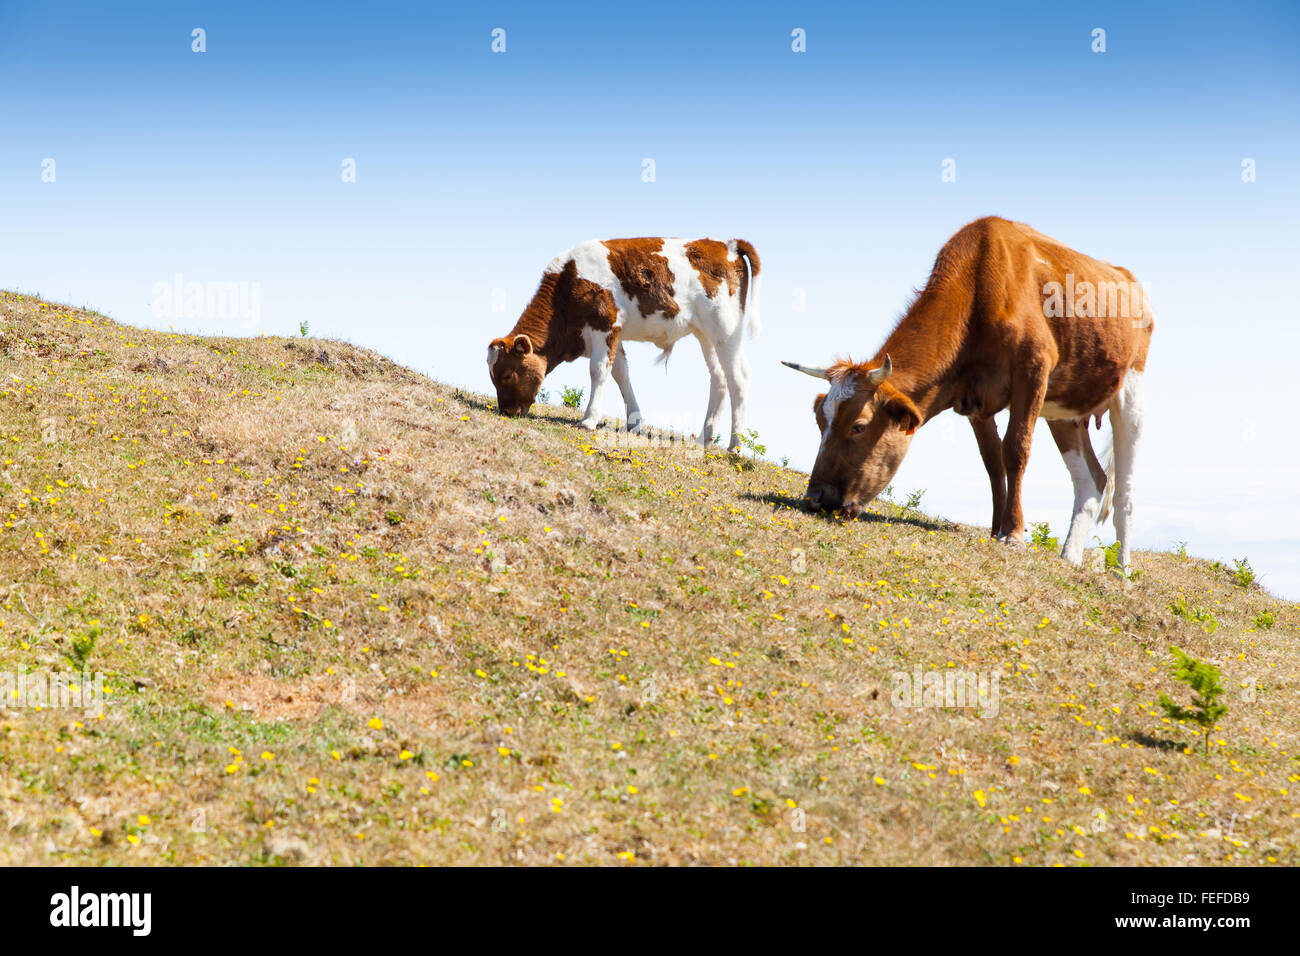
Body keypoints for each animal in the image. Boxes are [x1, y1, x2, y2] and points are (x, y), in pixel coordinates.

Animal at [487, 238, 761, 451]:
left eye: (508, 375)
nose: (507, 412)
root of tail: (725, 244)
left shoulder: (604, 324)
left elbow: (598, 371)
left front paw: (589, 420)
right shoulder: (613, 333)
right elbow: (620, 373)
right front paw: (634, 421)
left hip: (725, 330)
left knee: (738, 378)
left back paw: (735, 445)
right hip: (706, 335)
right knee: (719, 378)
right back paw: (704, 438)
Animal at [783, 217, 1153, 574]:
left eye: (859, 426)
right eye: (820, 422)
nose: (816, 498)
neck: (978, 293)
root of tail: (1129, 280)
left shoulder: (1033, 369)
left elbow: (1015, 450)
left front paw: (1013, 534)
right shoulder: (976, 400)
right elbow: (992, 460)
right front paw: (996, 529)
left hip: (1131, 392)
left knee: (1125, 491)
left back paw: (1122, 569)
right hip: (1065, 409)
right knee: (1092, 480)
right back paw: (1070, 557)